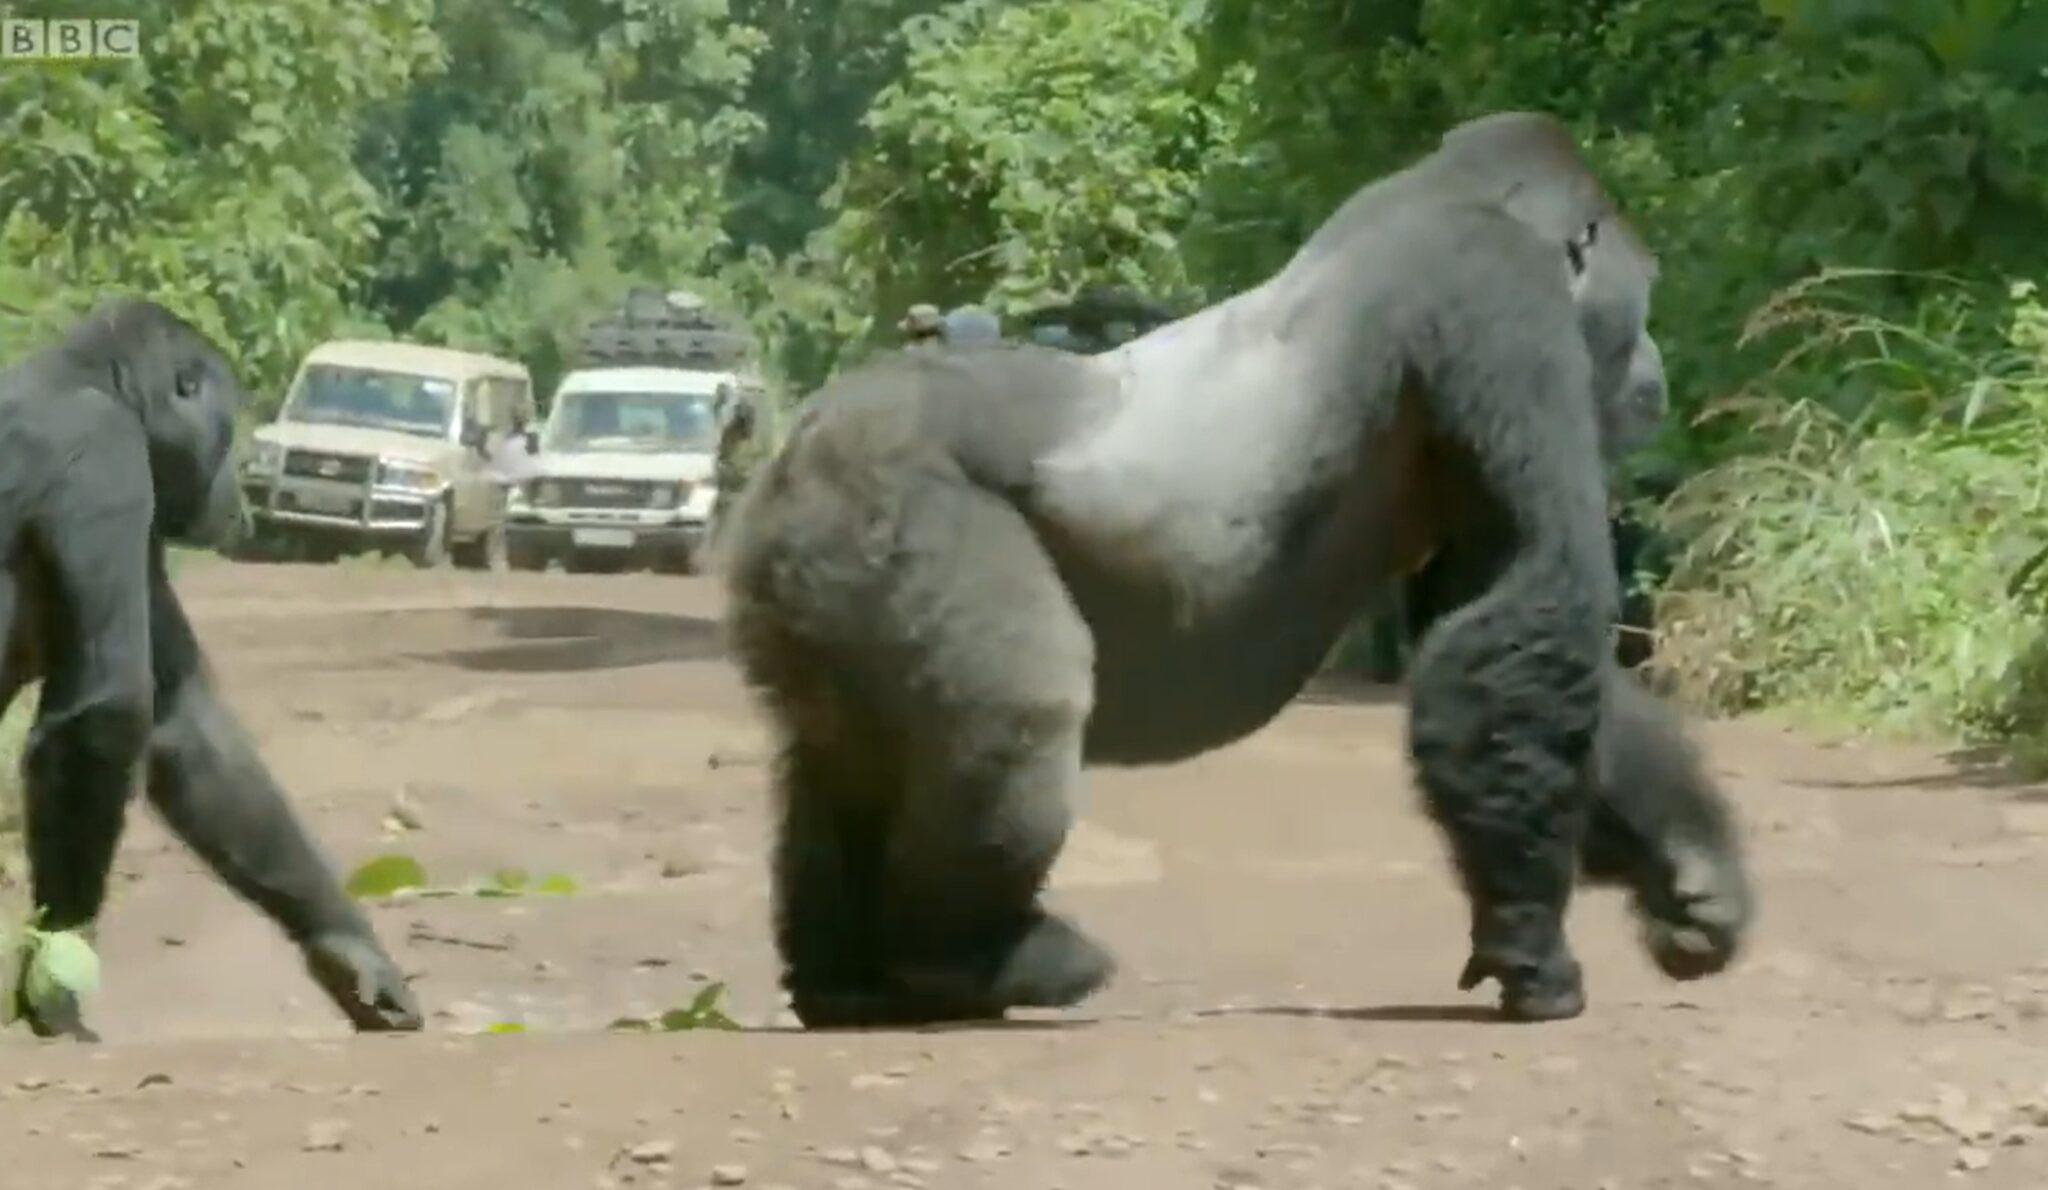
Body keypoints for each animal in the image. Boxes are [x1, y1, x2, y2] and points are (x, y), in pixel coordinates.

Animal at [0, 298, 423, 1041]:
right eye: (226, 428)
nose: (240, 474)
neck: (92, 378)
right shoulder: (104, 455)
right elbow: (109, 711)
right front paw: (55, 975)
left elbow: (187, 729)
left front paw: (345, 946)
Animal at [720, 111, 1753, 1028]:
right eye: (1637, 309)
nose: (1658, 374)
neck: (1453, 193)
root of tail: (793, 451)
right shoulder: (1498, 298)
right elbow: (1530, 605)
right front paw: (1532, 946)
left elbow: (1496, 623)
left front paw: (1686, 870)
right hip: (889, 493)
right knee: (1020, 707)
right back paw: (978, 957)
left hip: (816, 554)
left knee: (840, 749)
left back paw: (847, 983)